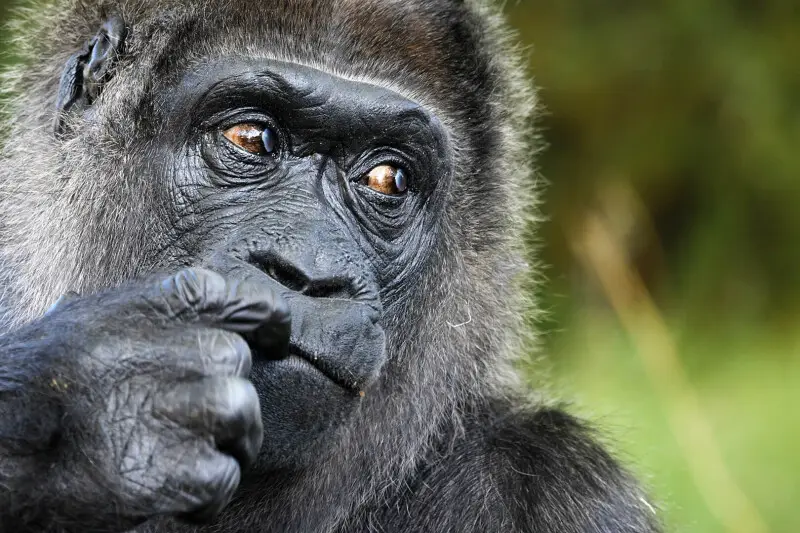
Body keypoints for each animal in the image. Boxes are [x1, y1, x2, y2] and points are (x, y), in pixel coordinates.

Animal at [0, 1, 662, 532]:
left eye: (387, 179)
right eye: (250, 138)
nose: (307, 275)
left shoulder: (561, 483)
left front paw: (103, 415)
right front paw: (87, 413)